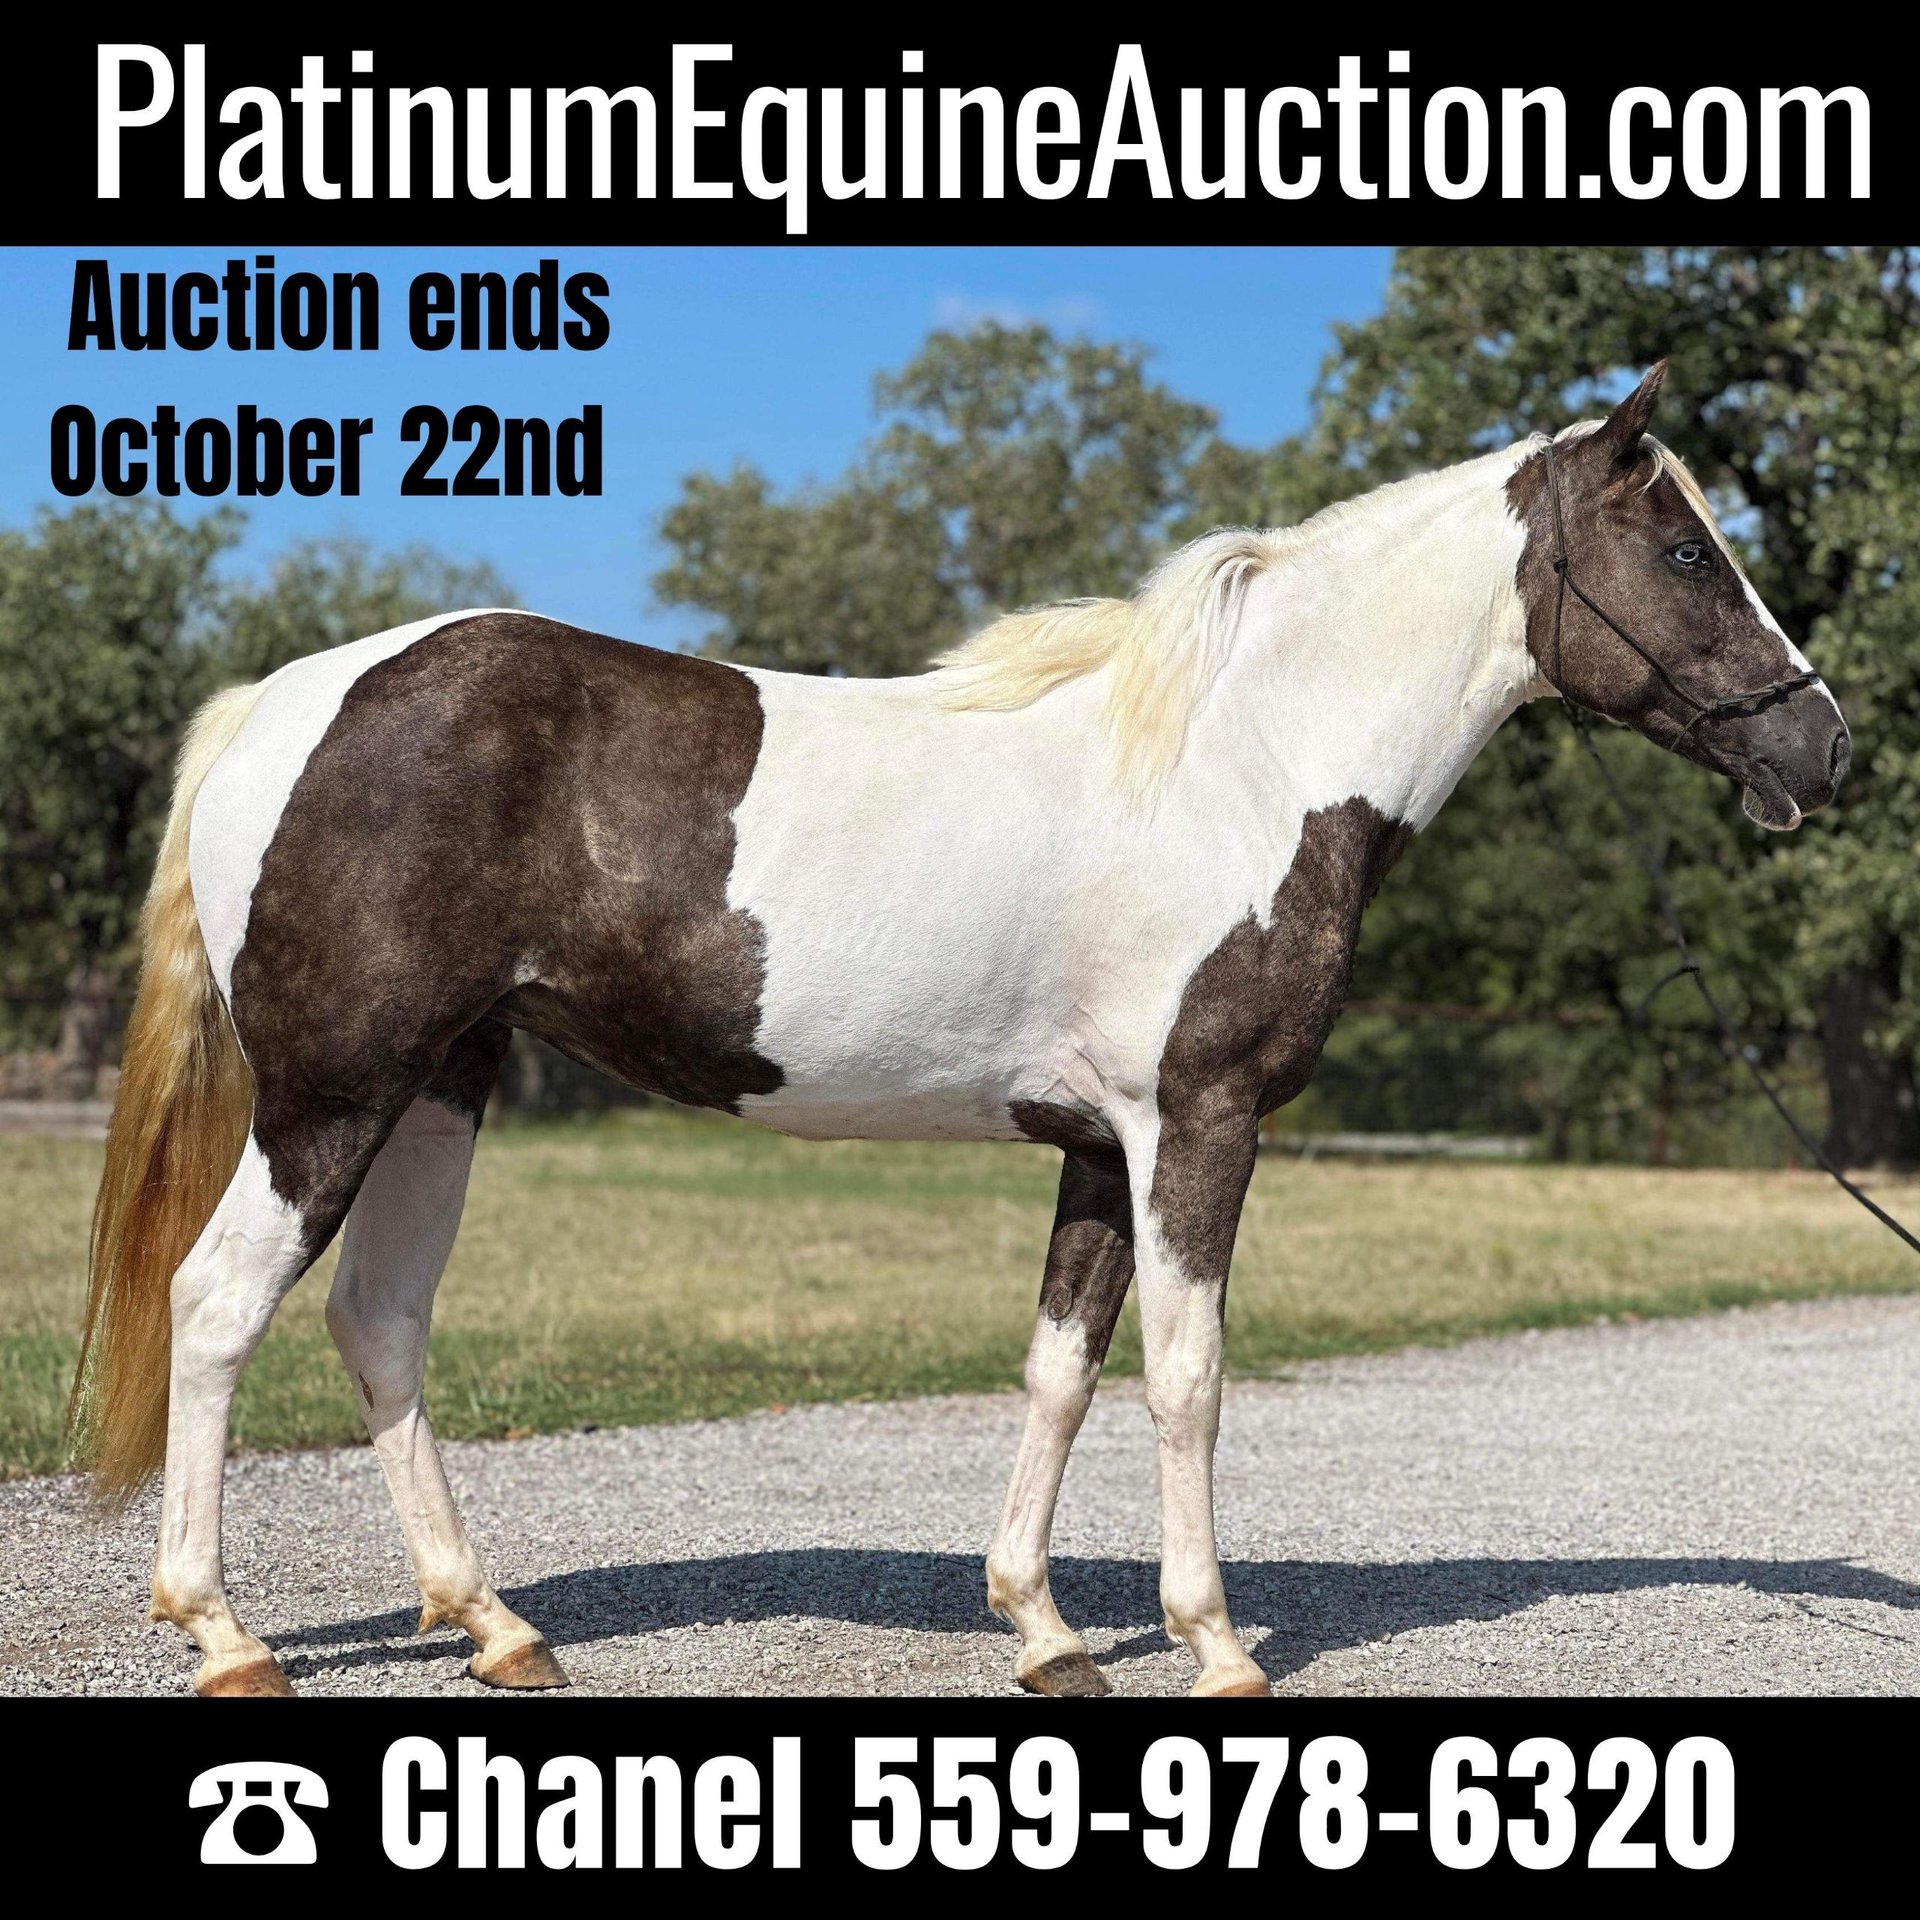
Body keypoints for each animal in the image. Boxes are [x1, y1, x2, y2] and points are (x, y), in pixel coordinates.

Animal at [71, 362, 1851, 1699]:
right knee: (216, 1308)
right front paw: (1215, 1646)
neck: (1246, 765)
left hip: (443, 1087)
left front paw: (1047, 1630)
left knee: (378, 1323)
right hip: (333, 1095)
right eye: (1689, 556)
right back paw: (227, 1637)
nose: (1821, 749)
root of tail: (292, 699)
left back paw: (497, 1627)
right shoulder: (1198, 1124)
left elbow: (1061, 1371)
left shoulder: (1098, 1149)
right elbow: (1189, 1377)